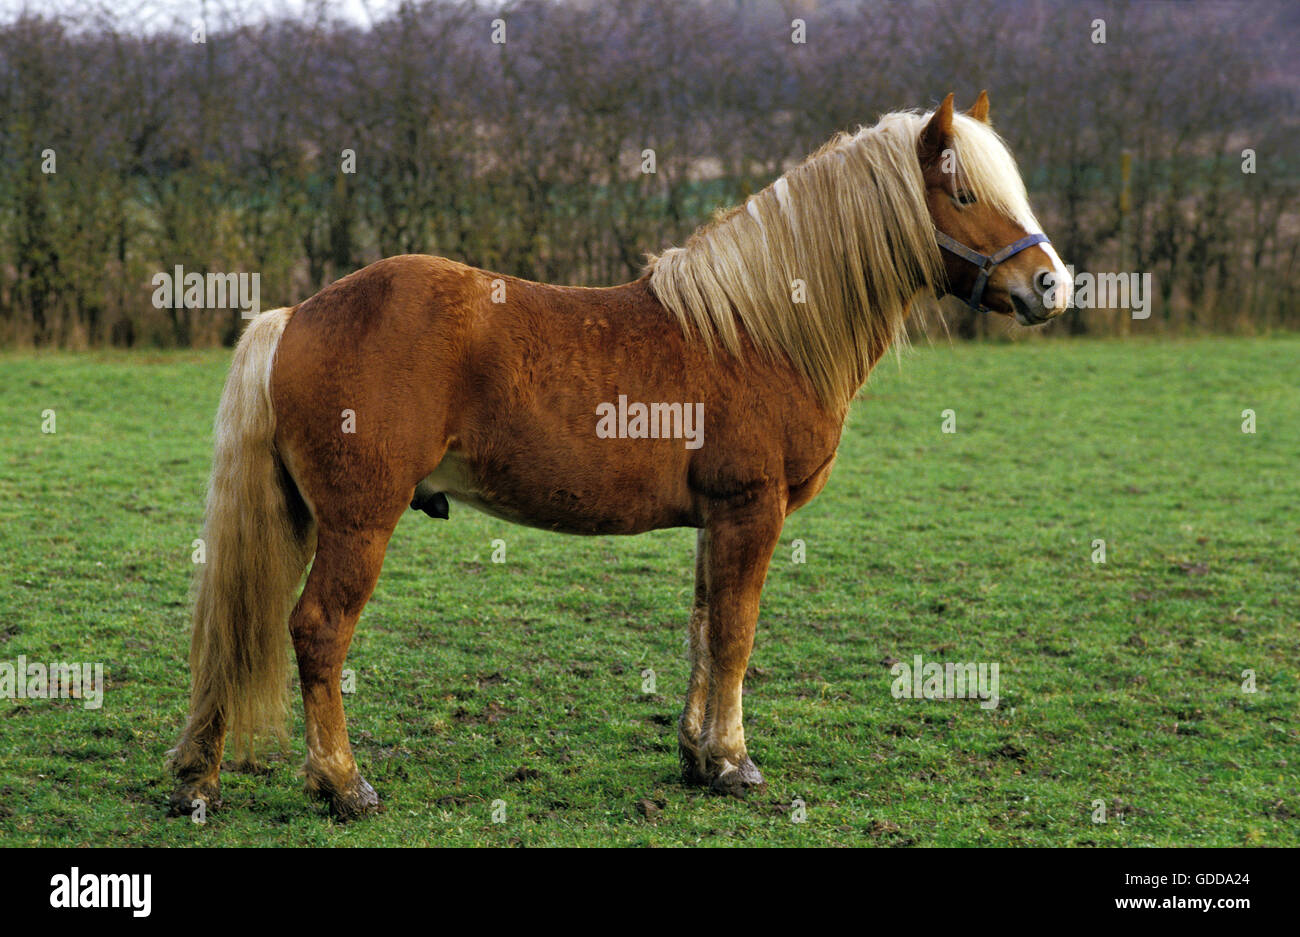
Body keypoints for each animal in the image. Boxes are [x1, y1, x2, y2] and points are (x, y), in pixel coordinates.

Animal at [167, 92, 1071, 819]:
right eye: (963, 193)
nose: (1052, 284)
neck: (758, 329)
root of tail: (295, 315)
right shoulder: (753, 509)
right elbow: (736, 634)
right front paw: (735, 763)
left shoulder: (718, 518)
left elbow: (705, 627)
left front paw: (699, 756)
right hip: (359, 524)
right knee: (318, 632)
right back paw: (343, 784)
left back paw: (199, 776)